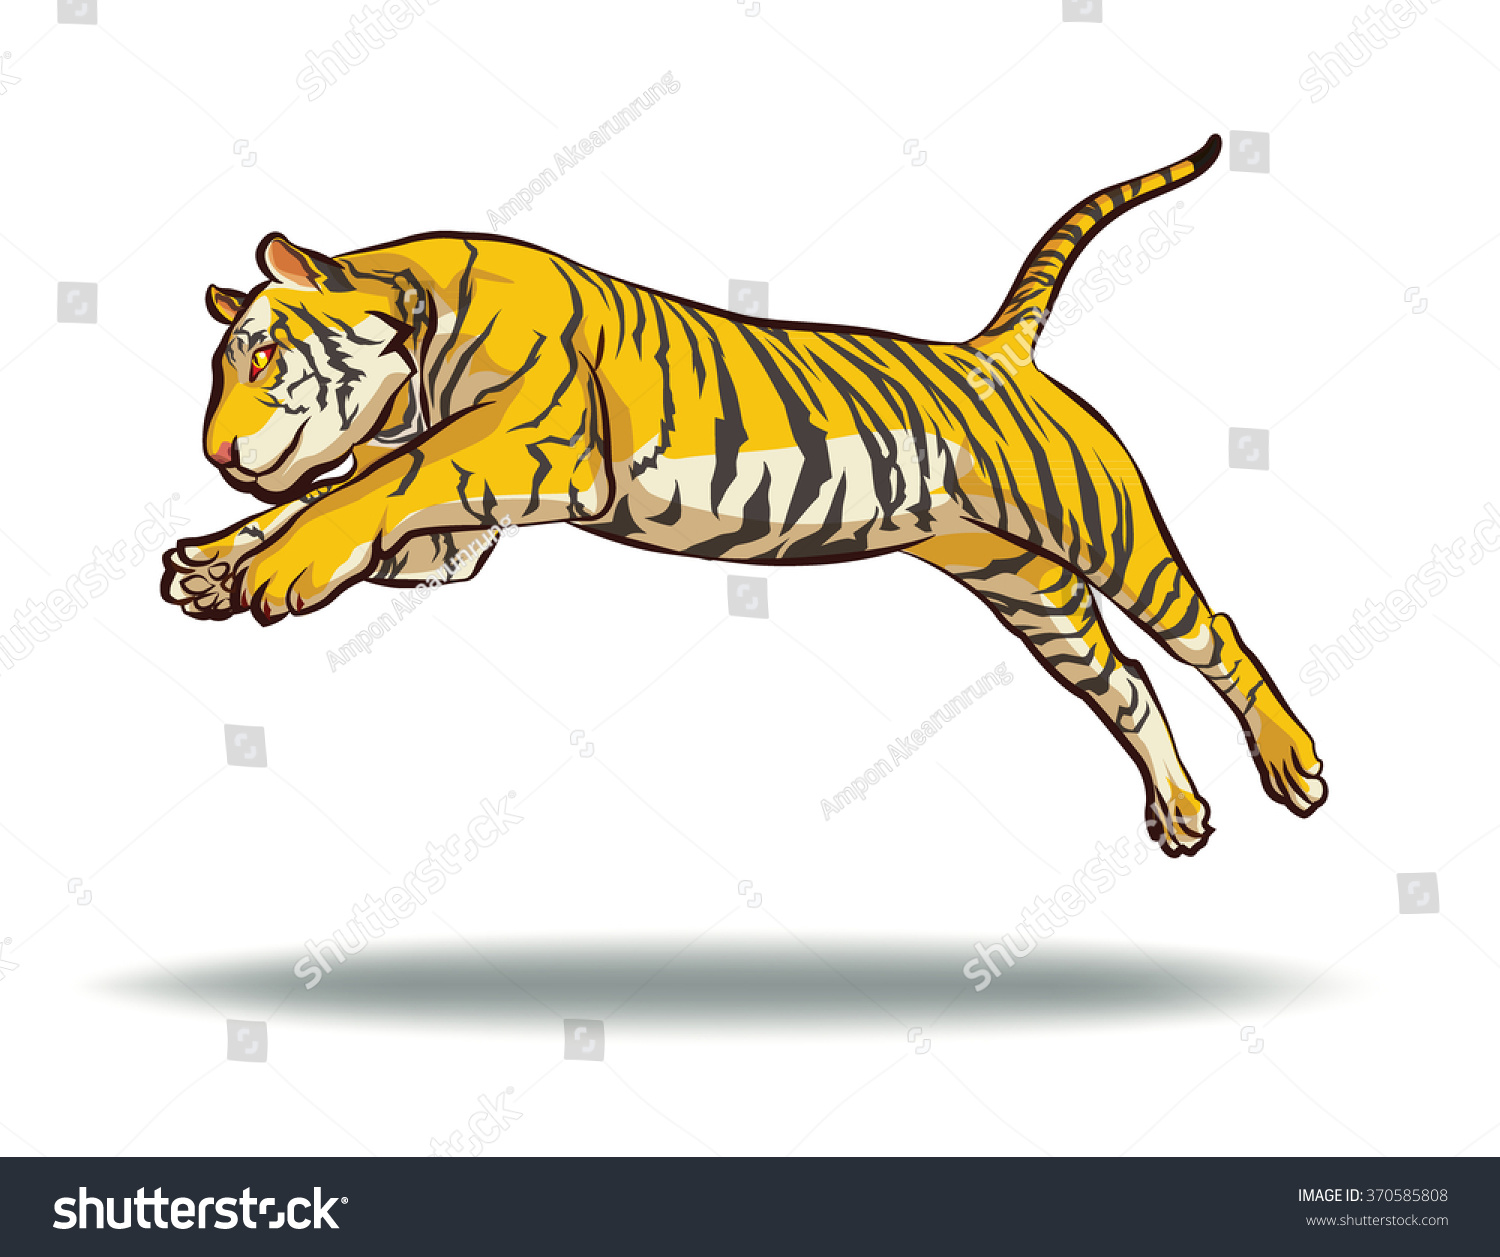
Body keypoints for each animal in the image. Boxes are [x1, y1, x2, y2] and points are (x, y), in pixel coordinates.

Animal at [162, 133, 1325, 857]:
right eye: (220, 361)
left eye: (261, 355)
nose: (216, 454)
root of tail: (1000, 348)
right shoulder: (459, 528)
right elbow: (340, 489)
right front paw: (217, 559)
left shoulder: (521, 447)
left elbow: (370, 483)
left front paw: (275, 567)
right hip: (1023, 580)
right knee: (1123, 681)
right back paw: (1181, 811)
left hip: (1109, 539)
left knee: (1213, 633)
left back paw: (1294, 765)